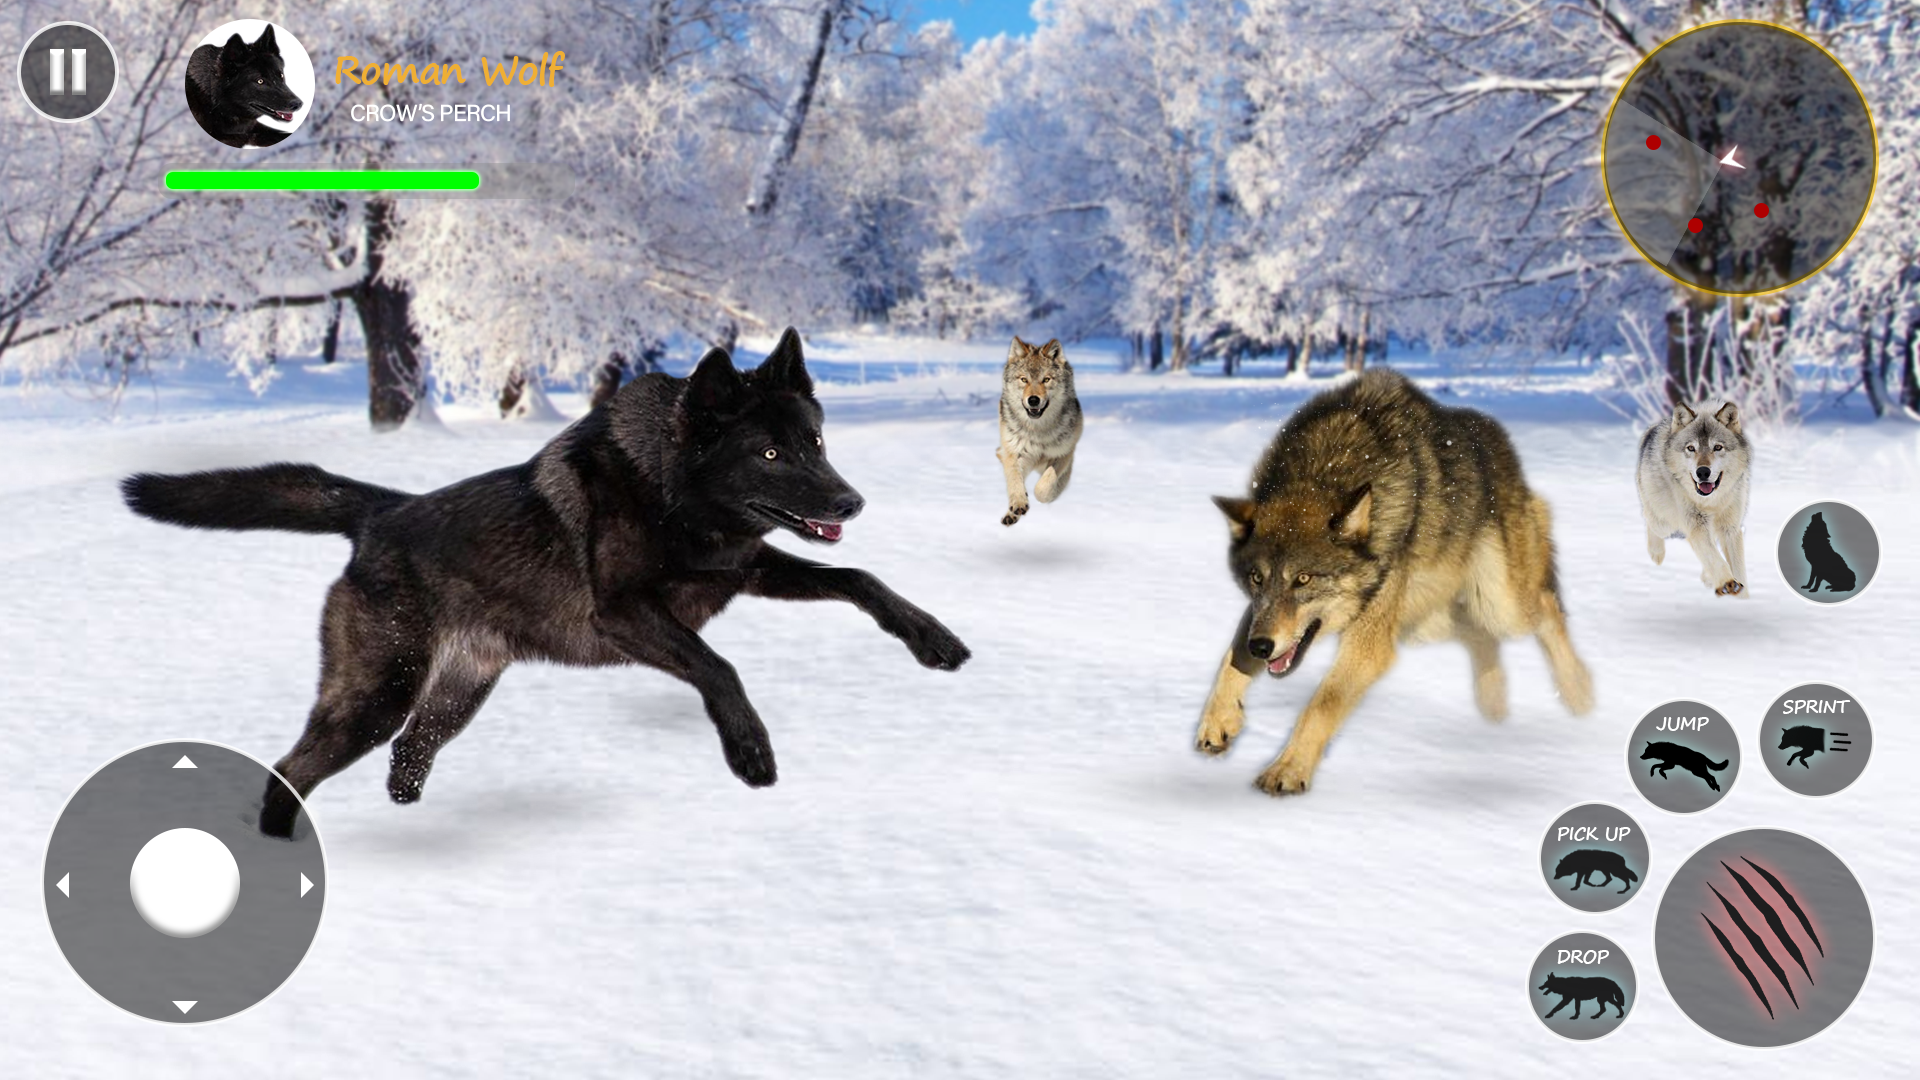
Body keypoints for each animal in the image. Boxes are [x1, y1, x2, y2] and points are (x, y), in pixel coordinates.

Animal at [122, 329, 971, 838]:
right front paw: (750, 753)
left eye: (816, 442)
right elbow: (721, 666)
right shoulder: (627, 614)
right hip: (377, 692)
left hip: (453, 697)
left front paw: (935, 640)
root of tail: (381, 515)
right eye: (768, 454)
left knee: (405, 758)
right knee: (293, 768)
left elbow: (860, 576)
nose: (850, 502)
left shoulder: (745, 568)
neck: (670, 493)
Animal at [996, 337, 1082, 526]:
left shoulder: (1063, 454)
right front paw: (1019, 502)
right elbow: (1014, 480)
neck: (1038, 430)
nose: (1034, 400)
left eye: (1046, 379)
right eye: (1024, 380)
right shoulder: (1014, 453)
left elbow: (1044, 486)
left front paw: (1045, 495)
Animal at [1194, 368, 1593, 795]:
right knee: (1481, 639)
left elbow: (1321, 705)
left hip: (1499, 606)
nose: (1264, 646)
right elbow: (1232, 659)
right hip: (1427, 623)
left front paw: (1288, 769)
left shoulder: (1369, 644)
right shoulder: (1259, 616)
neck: (1328, 466)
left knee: (1546, 611)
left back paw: (1580, 697)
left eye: (1303, 579)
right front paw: (1218, 722)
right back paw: (1494, 713)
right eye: (1256, 578)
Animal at [1636, 401, 1751, 597]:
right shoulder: (1696, 525)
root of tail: (1652, 428)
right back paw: (1656, 553)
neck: (1712, 502)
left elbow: (1737, 567)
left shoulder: (1731, 528)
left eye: (1717, 447)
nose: (1703, 472)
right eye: (1691, 448)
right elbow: (1714, 557)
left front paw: (1742, 595)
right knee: (1649, 520)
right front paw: (1727, 582)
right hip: (1664, 522)